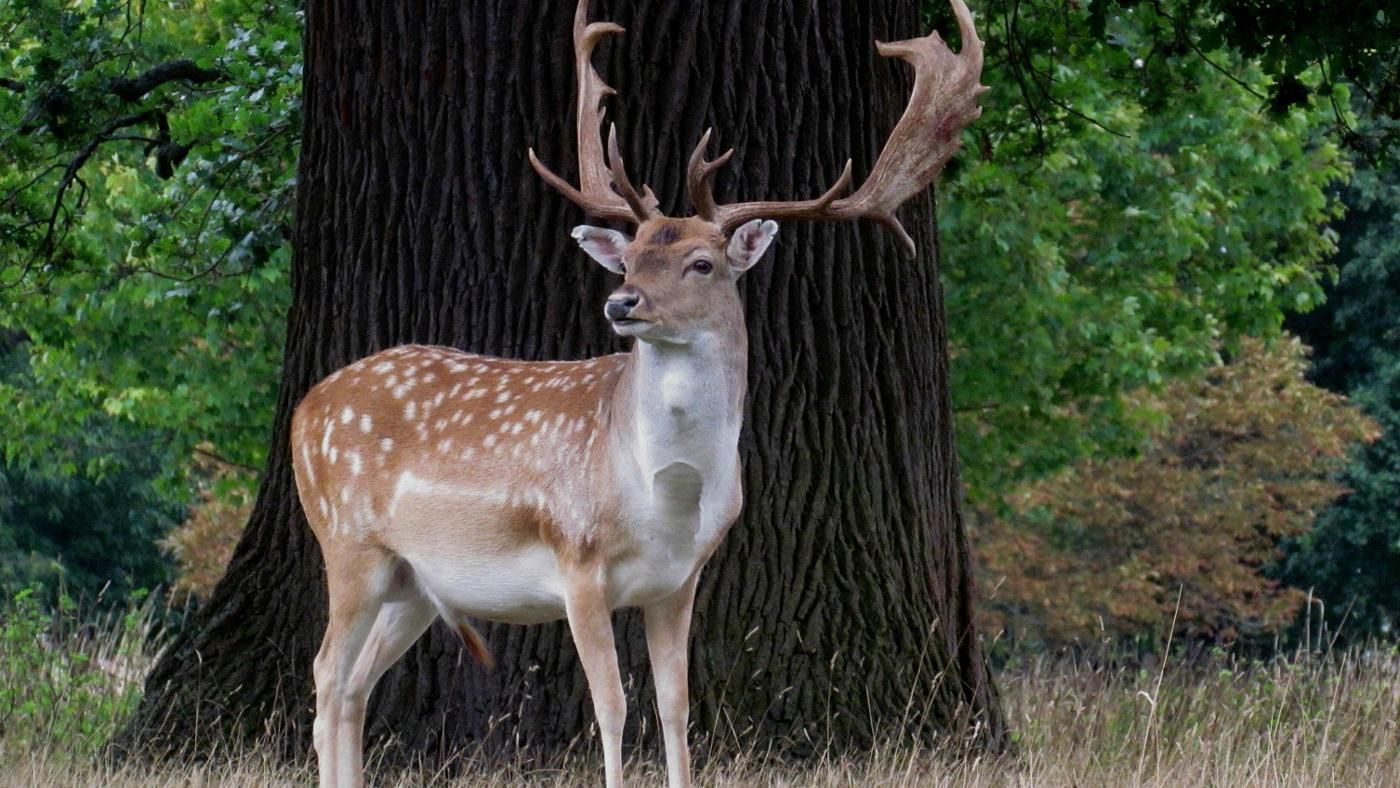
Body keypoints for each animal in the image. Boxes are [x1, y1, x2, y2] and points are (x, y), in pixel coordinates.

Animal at [290, 0, 985, 786]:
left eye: (702, 262)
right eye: (629, 258)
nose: (621, 302)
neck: (667, 493)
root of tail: (305, 408)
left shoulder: (681, 581)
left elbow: (676, 708)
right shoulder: (577, 560)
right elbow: (614, 708)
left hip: (416, 582)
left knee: (353, 686)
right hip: (348, 541)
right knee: (323, 674)